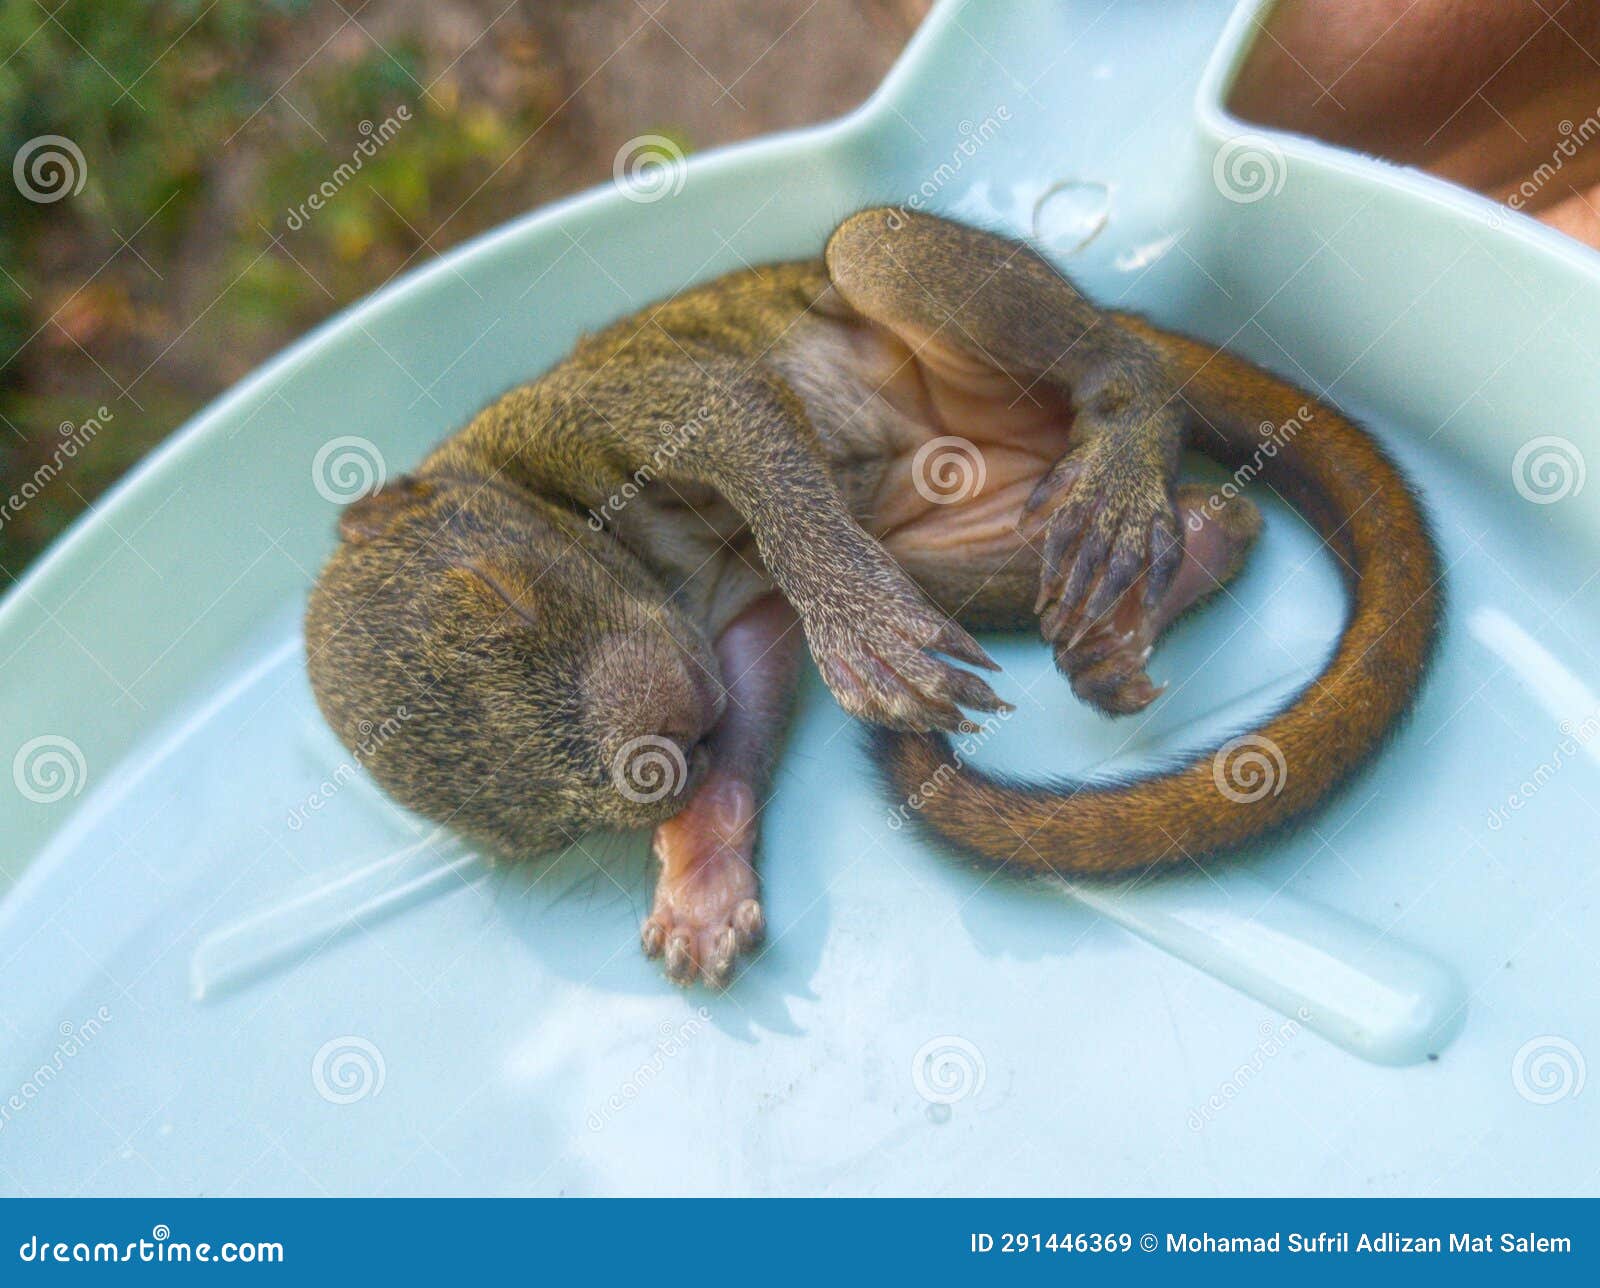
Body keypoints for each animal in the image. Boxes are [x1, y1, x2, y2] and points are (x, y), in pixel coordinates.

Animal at [305, 208, 1441, 987]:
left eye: (503, 593)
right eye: (555, 813)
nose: (664, 725)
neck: (637, 556)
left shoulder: (573, 411)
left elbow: (734, 415)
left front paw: (848, 610)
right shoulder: (718, 628)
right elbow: (748, 683)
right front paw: (701, 859)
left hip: (968, 336)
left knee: (880, 257)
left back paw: (1127, 422)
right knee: (1169, 530)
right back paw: (1182, 564)